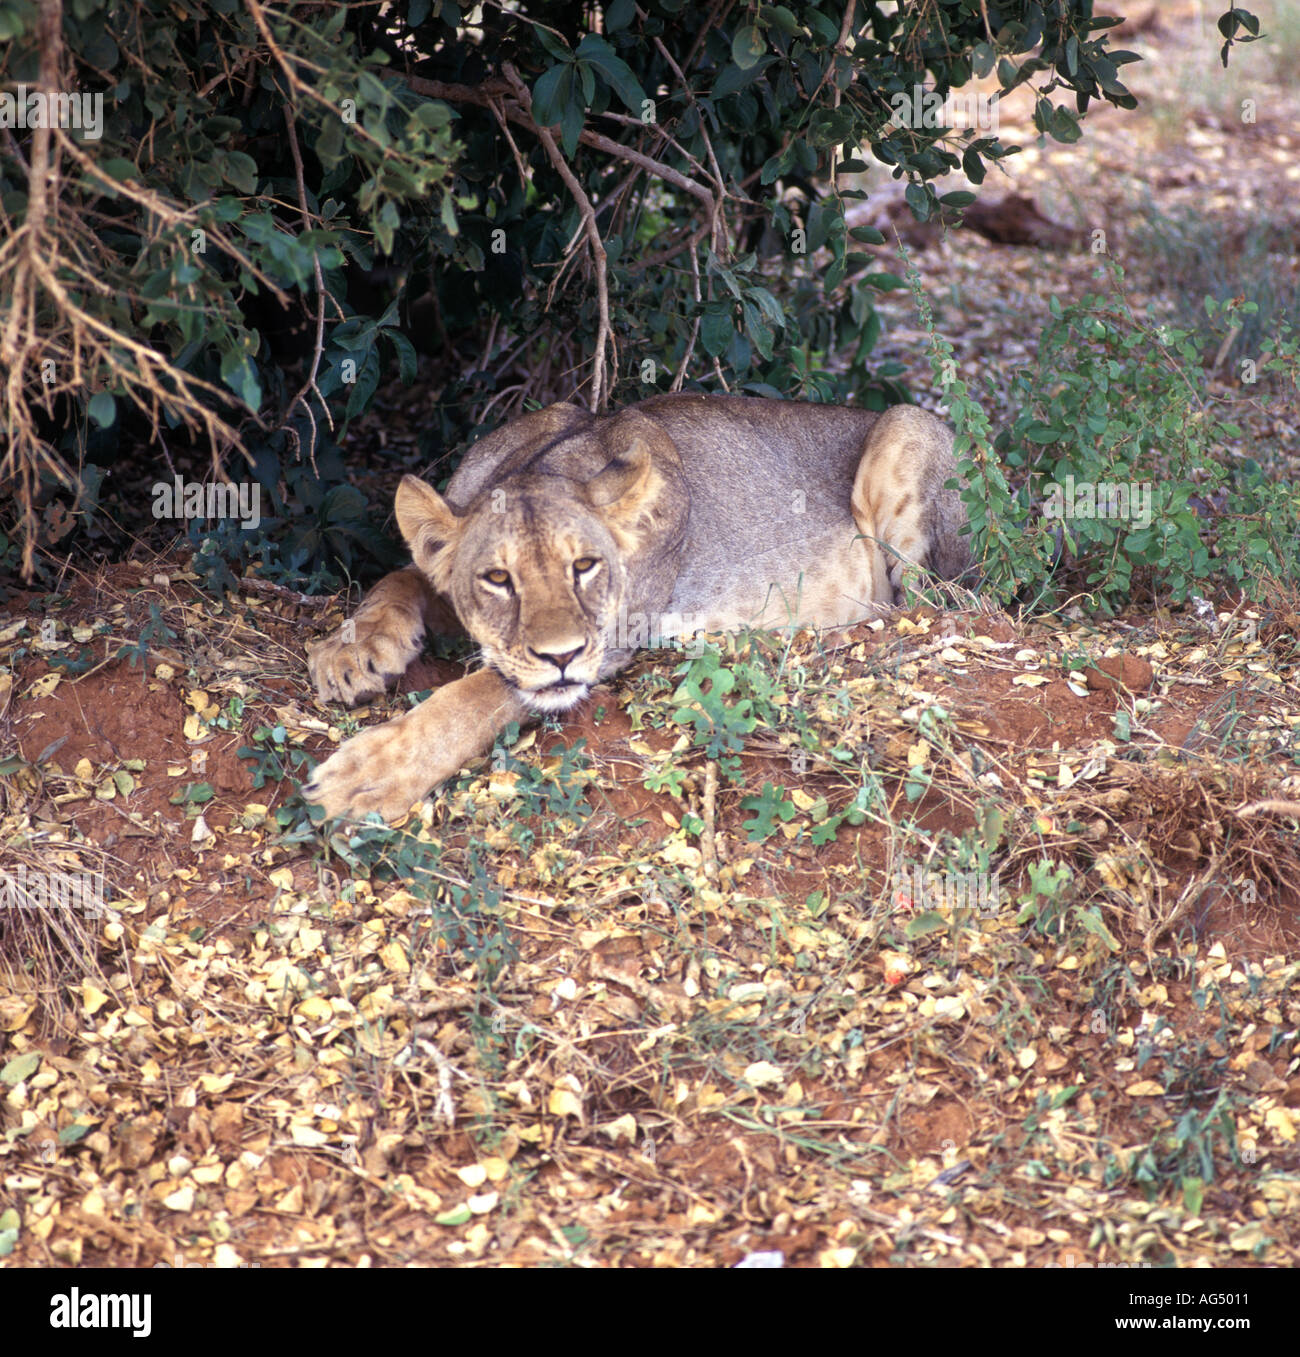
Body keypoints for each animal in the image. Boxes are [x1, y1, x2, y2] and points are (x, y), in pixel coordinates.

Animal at [303, 393, 972, 821]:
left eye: (584, 566)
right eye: (497, 579)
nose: (562, 655)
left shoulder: (614, 637)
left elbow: (477, 696)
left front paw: (368, 775)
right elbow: (402, 577)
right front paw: (351, 652)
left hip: (907, 428)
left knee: (932, 602)